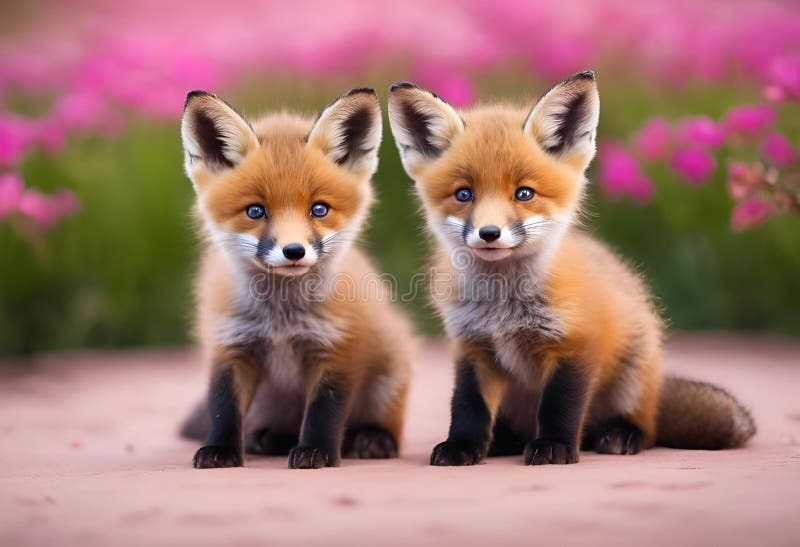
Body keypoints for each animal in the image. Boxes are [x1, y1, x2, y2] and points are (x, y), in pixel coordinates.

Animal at [179, 87, 413, 469]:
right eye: (255, 211)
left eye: (318, 209)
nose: (293, 251)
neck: (281, 318)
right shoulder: (230, 344)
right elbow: (222, 407)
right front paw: (221, 449)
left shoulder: (338, 349)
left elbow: (324, 411)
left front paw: (317, 451)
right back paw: (270, 438)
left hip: (389, 372)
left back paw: (372, 438)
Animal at [387, 71, 756, 466]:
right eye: (463, 194)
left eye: (524, 193)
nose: (489, 233)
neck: (503, 307)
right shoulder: (473, 348)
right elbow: (468, 406)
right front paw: (462, 446)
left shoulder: (575, 345)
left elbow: (559, 406)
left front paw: (555, 447)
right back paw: (503, 441)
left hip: (633, 375)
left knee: (646, 428)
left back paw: (620, 434)